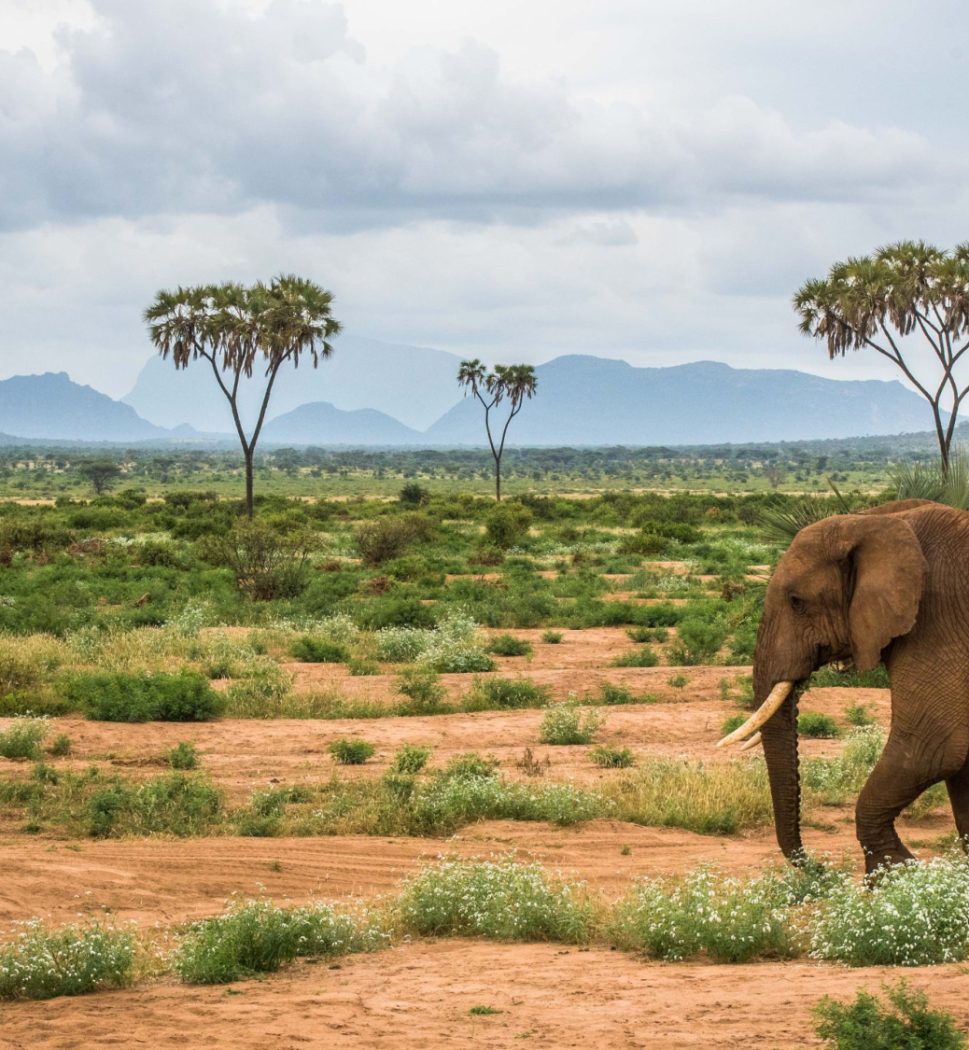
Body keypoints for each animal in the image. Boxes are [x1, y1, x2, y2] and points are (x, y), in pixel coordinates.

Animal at [718, 498, 969, 873]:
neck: (875, 521)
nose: (816, 866)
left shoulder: (937, 616)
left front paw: (895, 874)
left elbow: (934, 744)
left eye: (797, 601)